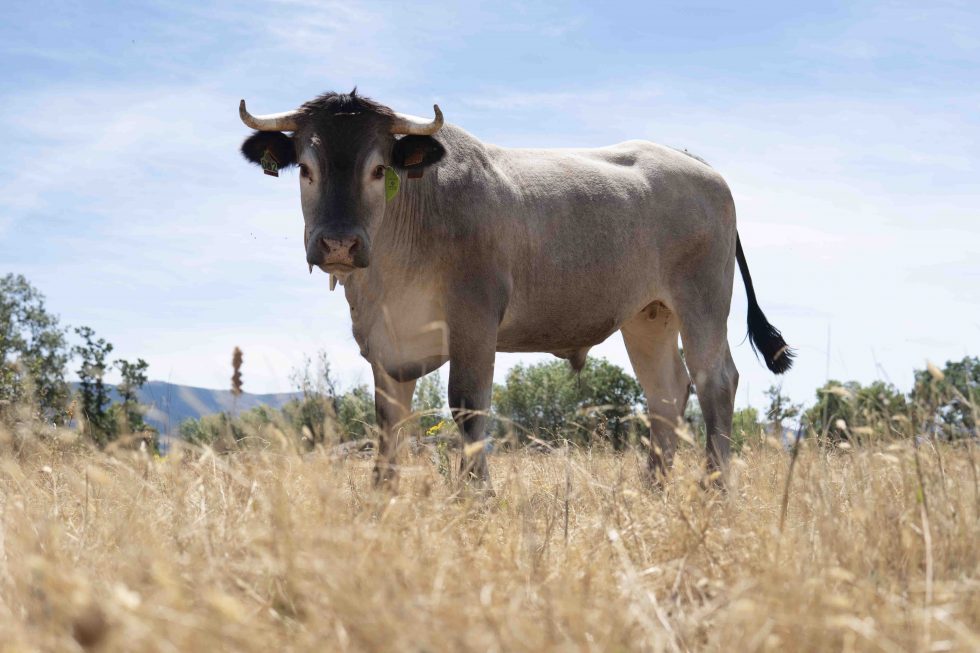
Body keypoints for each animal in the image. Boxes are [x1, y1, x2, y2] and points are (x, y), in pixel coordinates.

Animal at [237, 89, 793, 489]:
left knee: (716, 381)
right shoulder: (385, 345)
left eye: (378, 169)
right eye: (306, 170)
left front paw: (476, 495)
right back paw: (653, 489)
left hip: (703, 302)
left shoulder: (475, 322)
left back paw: (714, 488)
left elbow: (467, 406)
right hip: (648, 316)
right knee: (667, 393)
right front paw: (382, 496)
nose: (339, 243)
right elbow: (387, 423)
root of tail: (700, 167)